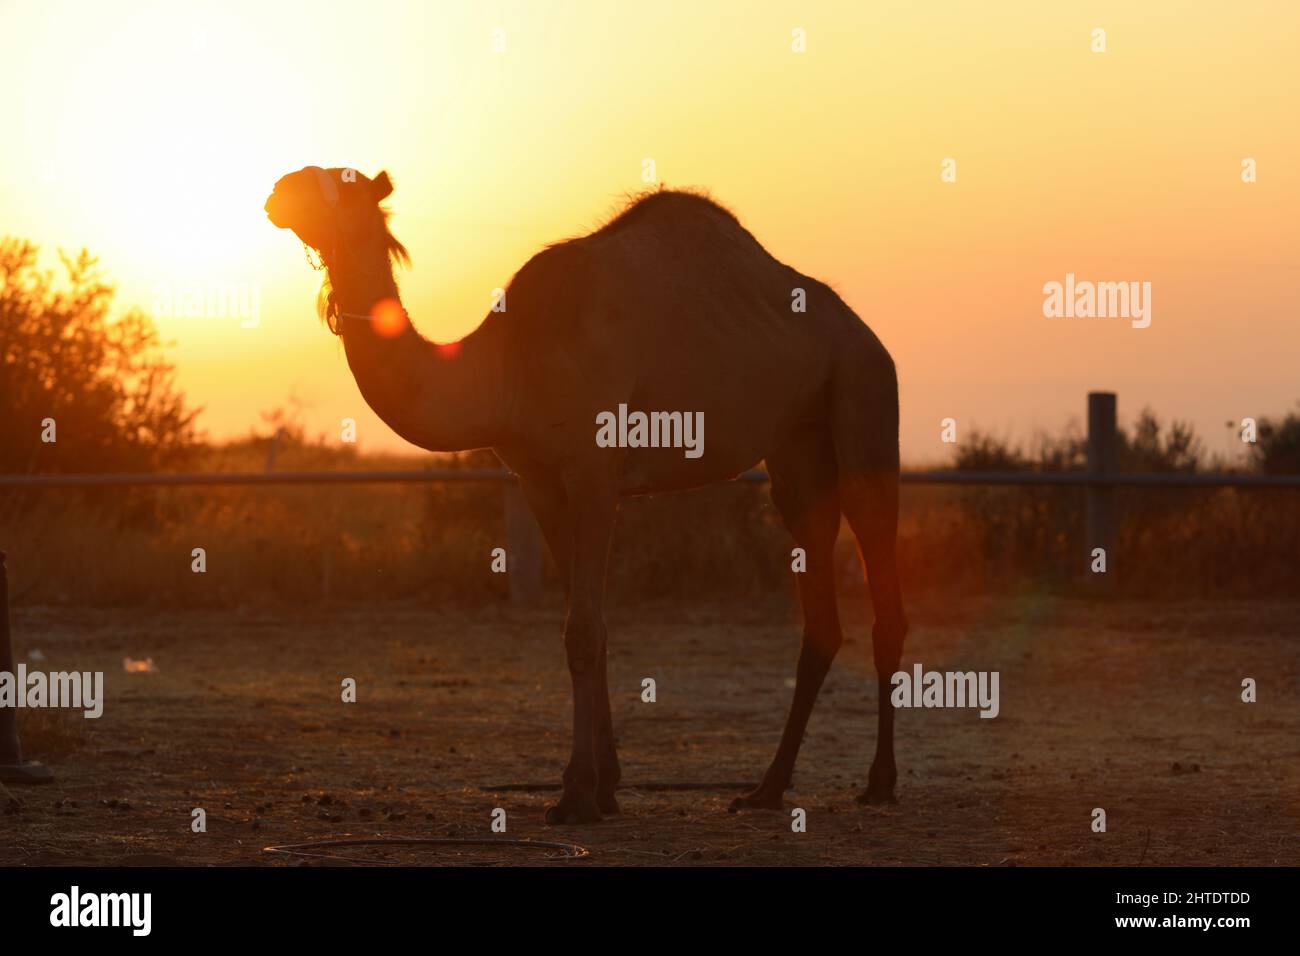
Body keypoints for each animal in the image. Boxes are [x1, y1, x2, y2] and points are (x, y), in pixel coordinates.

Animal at [264, 166, 908, 824]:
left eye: (338, 182)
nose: (278, 190)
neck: (507, 362)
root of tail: (866, 334)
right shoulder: (541, 482)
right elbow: (586, 624)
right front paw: (606, 786)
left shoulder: (596, 472)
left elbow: (582, 631)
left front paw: (576, 792)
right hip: (795, 450)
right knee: (821, 615)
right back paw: (767, 788)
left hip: (865, 396)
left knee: (885, 596)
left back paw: (879, 781)